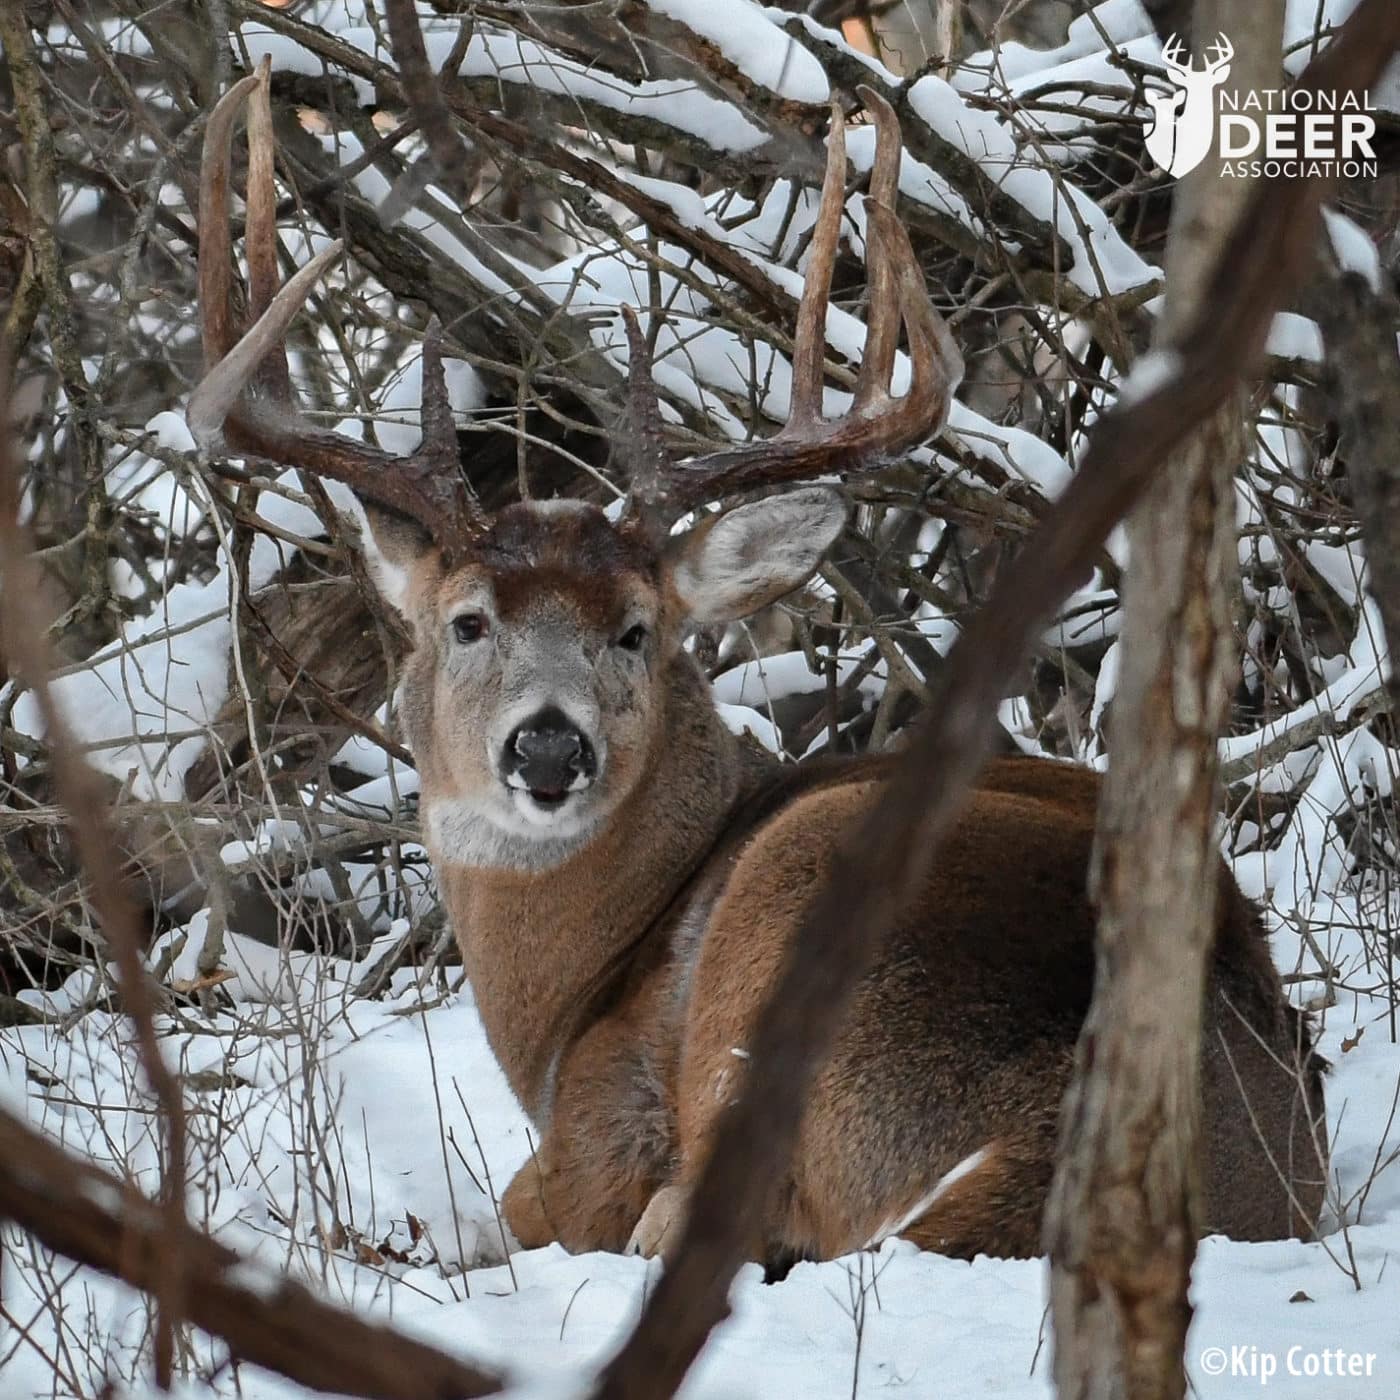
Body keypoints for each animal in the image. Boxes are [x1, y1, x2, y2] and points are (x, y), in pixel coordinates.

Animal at [188, 68, 1326, 1269]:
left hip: (796, 903)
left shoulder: (596, 1124)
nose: (548, 746)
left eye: (636, 629)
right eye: (466, 622)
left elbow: (533, 1209)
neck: (571, 990)